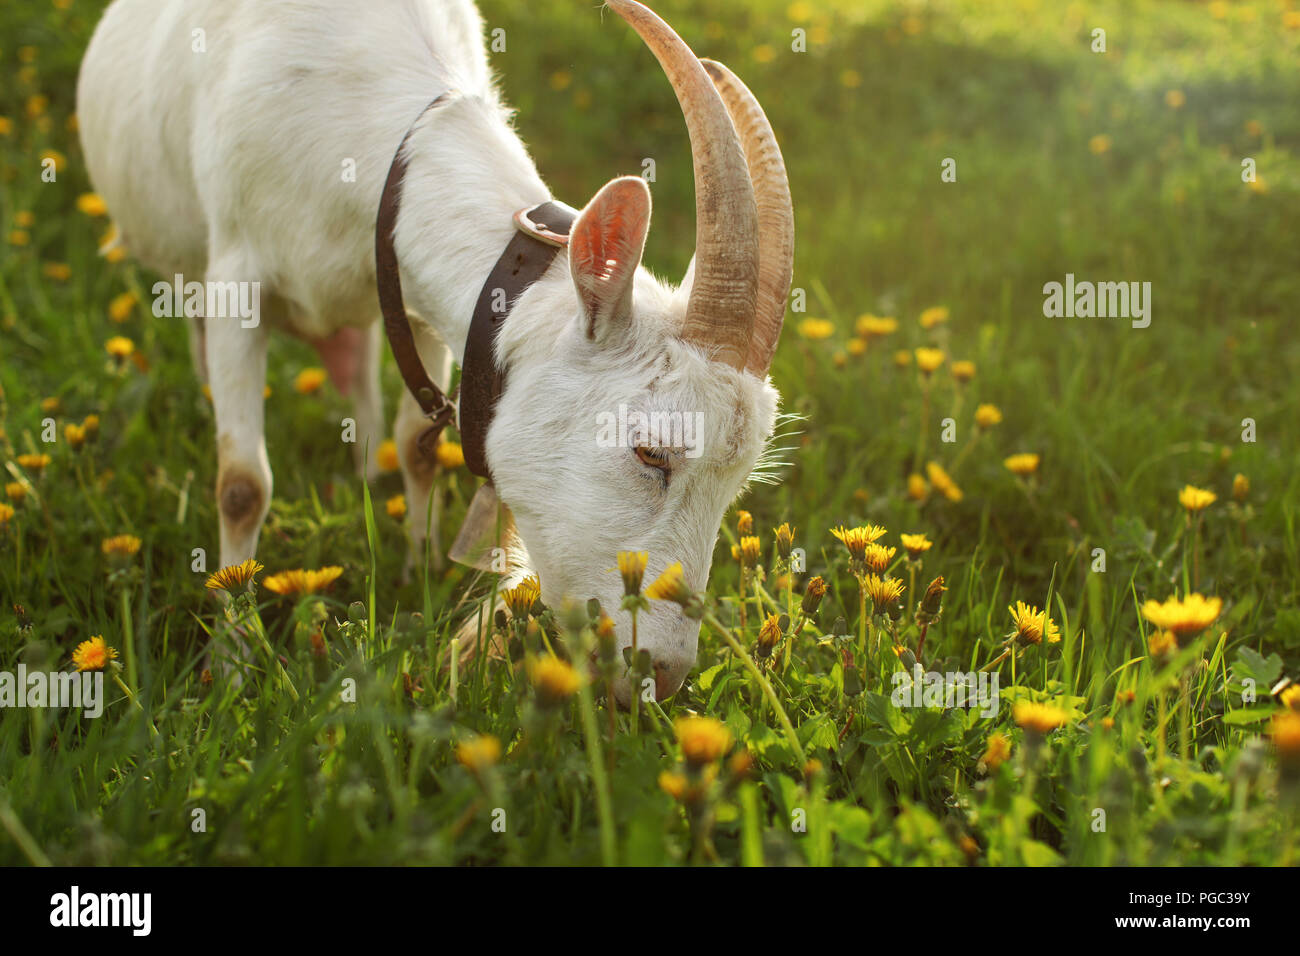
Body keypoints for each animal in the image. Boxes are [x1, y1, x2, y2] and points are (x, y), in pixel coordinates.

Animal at [76, 0, 794, 705]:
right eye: (650, 453)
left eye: (736, 485)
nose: (661, 675)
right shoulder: (237, 279)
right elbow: (242, 485)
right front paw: (229, 664)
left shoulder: (407, 289)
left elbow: (418, 446)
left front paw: (415, 570)